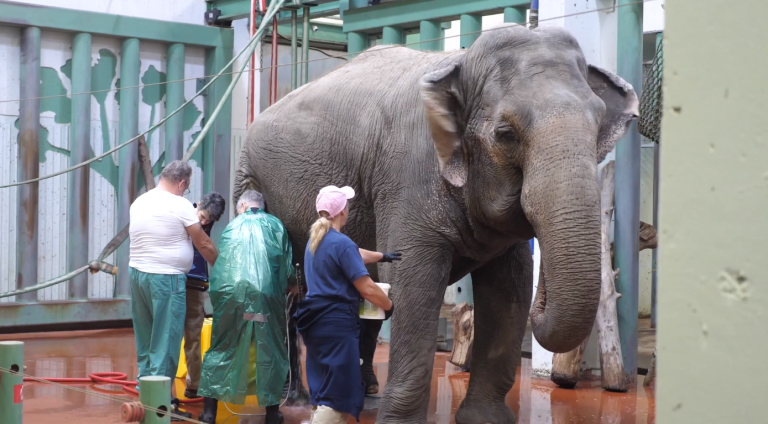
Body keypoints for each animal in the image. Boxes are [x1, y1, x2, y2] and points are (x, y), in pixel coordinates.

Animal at [233, 24, 638, 424]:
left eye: (599, 125)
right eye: (505, 134)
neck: (462, 62)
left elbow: (511, 288)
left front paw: (485, 420)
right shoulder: (407, 172)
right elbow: (412, 279)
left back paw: (363, 396)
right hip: (251, 178)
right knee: (288, 293)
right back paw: (296, 401)